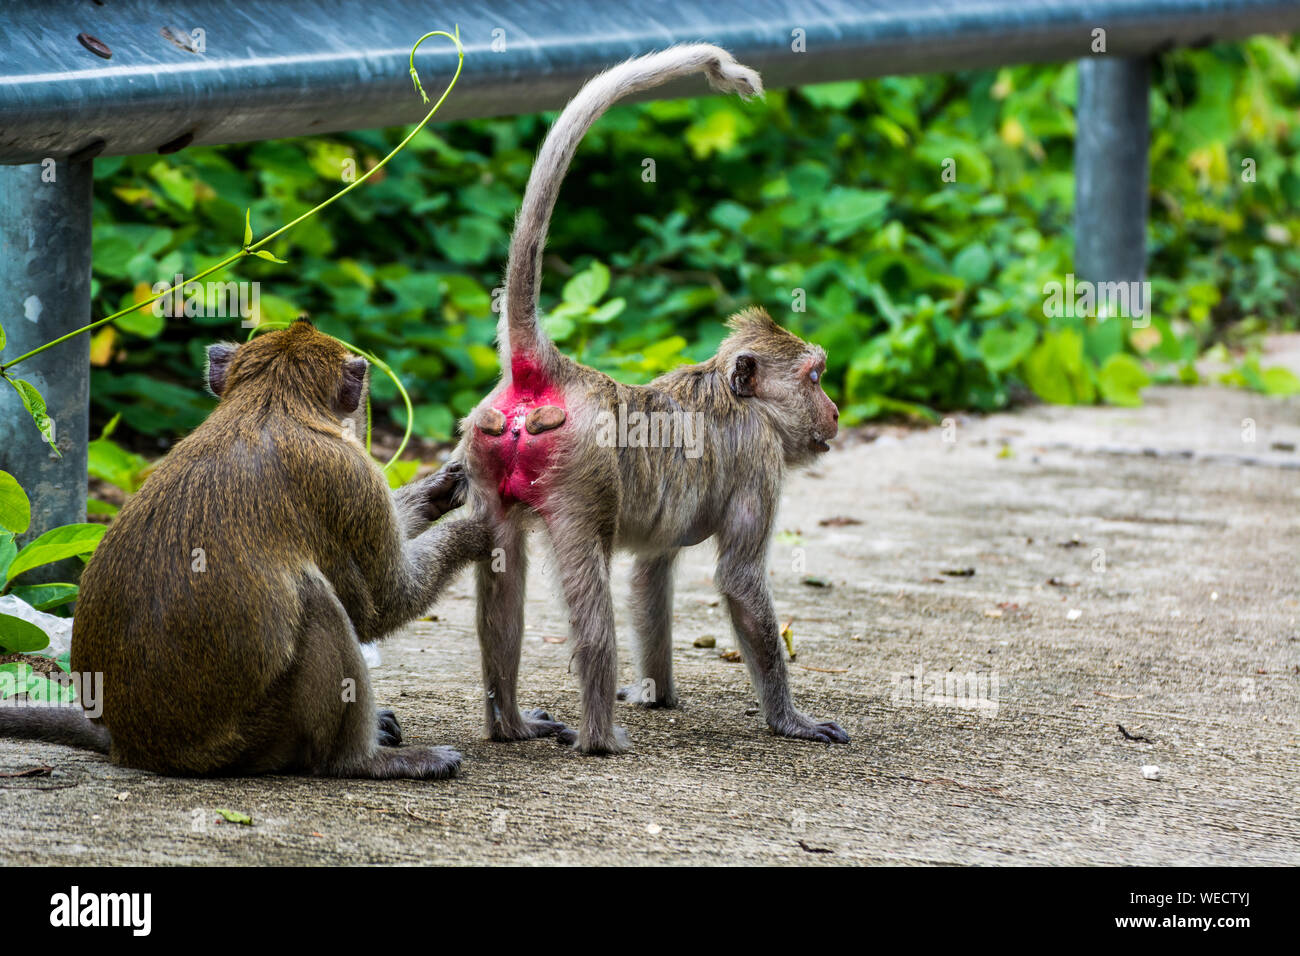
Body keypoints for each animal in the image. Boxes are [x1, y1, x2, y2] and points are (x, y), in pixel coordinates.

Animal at [0, 319, 497, 778]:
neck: (269, 401)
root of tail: (133, 744)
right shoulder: (351, 474)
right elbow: (382, 604)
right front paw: (474, 531)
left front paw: (438, 490)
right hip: (261, 737)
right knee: (318, 603)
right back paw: (361, 759)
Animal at [457, 45, 849, 754]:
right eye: (814, 376)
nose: (835, 410)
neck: (734, 395)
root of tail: (554, 370)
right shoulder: (759, 458)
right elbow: (739, 581)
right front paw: (791, 721)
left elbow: (651, 572)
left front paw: (656, 692)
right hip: (579, 478)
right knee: (588, 591)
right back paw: (599, 738)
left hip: (486, 450)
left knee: (503, 575)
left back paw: (510, 724)